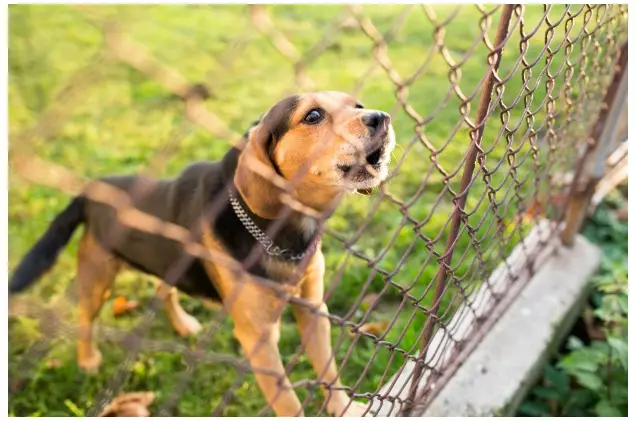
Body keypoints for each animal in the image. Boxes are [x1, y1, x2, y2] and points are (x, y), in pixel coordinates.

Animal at [9, 90, 396, 416]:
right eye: (313, 115)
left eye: (358, 104)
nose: (382, 117)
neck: (284, 232)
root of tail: (92, 189)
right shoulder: (258, 338)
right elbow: (288, 401)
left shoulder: (314, 310)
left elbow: (329, 370)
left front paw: (346, 408)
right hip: (98, 274)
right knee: (85, 316)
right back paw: (88, 358)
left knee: (161, 290)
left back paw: (182, 325)